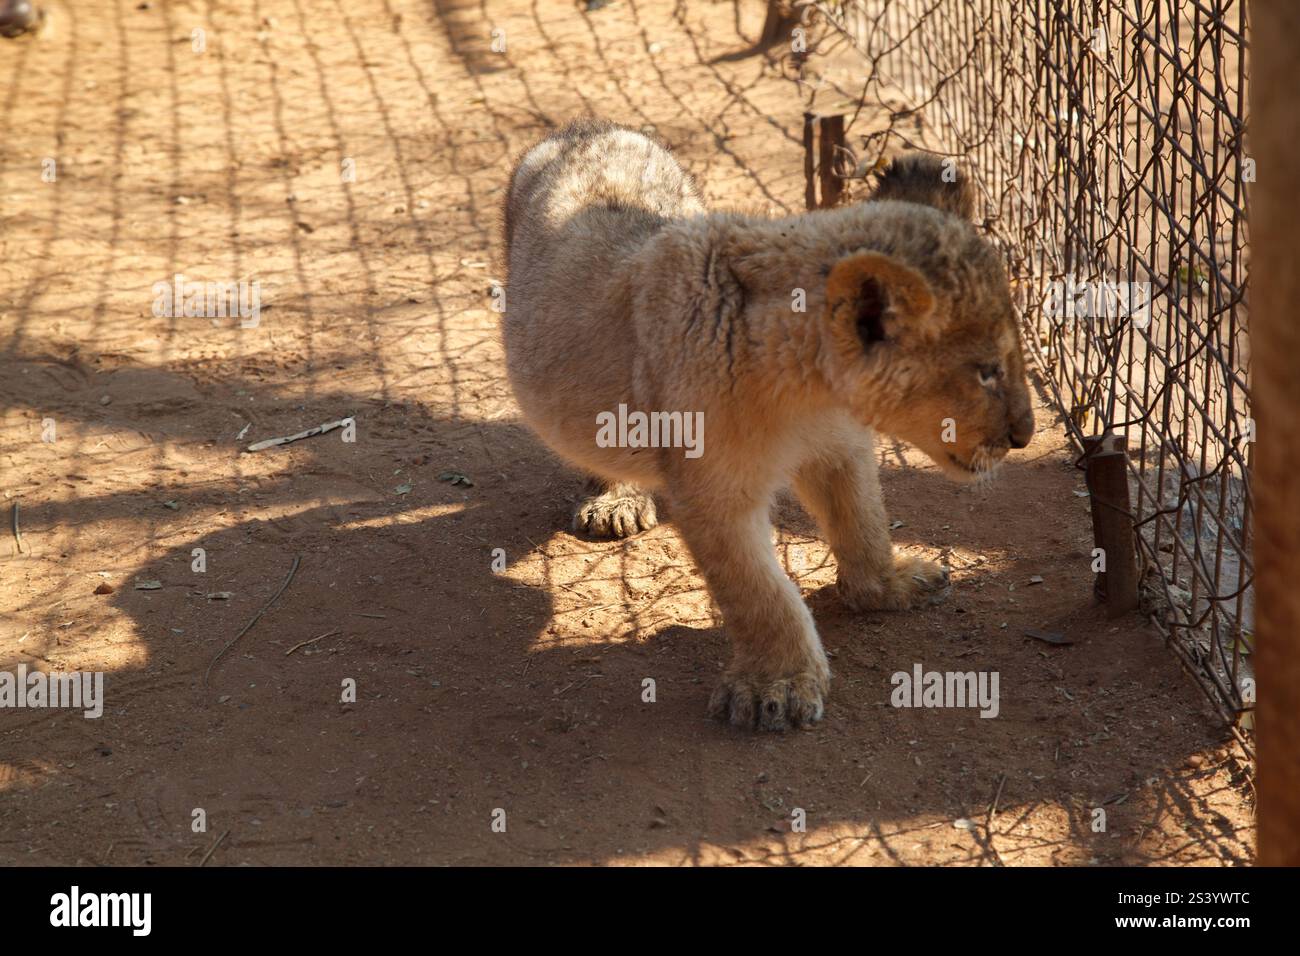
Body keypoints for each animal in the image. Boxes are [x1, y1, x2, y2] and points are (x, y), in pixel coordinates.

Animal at [501, 119, 1034, 731]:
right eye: (987, 371)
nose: (1025, 434)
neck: (807, 391)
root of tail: (584, 127)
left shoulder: (839, 445)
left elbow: (864, 522)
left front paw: (887, 586)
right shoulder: (713, 493)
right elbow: (759, 593)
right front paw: (775, 686)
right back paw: (616, 502)